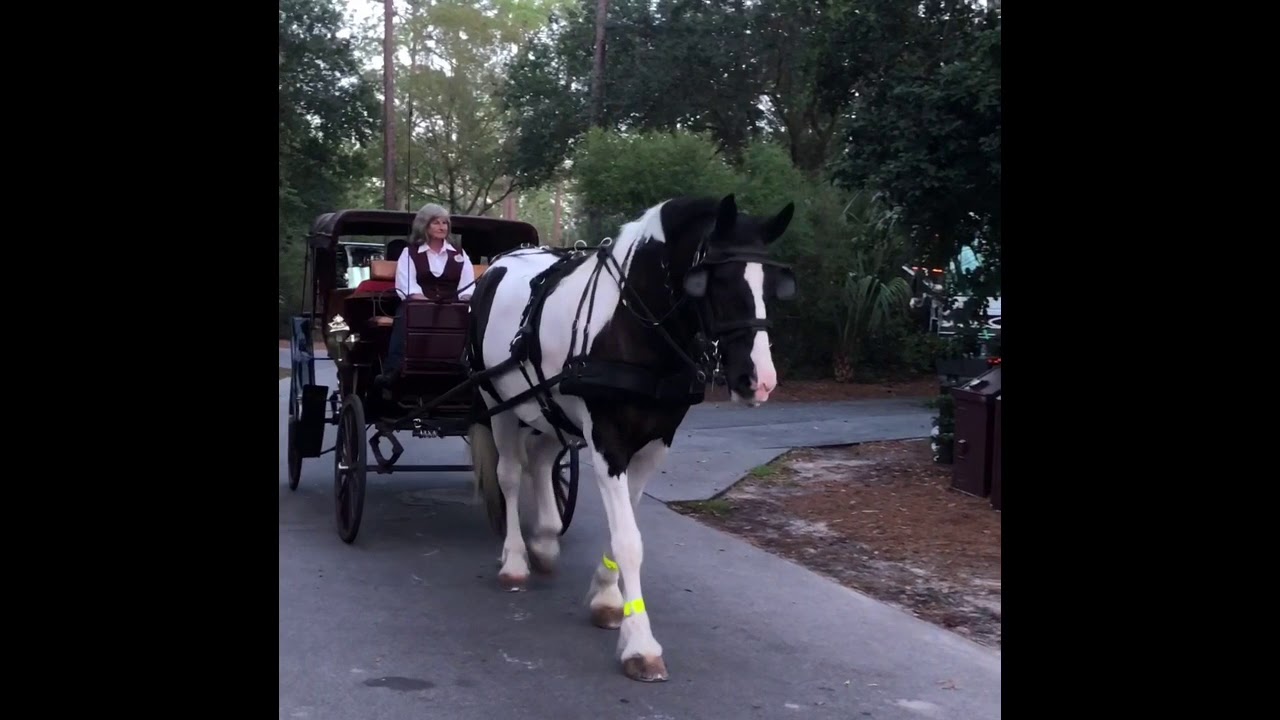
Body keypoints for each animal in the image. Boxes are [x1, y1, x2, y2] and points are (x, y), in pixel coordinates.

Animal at [463, 193, 797, 682]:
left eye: (773, 285)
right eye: (716, 280)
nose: (759, 381)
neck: (631, 324)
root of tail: (499, 263)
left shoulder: (653, 446)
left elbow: (625, 529)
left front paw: (607, 597)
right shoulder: (608, 440)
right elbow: (629, 541)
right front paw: (640, 643)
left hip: (550, 408)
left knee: (542, 459)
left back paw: (544, 540)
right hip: (498, 402)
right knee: (509, 475)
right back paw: (516, 559)